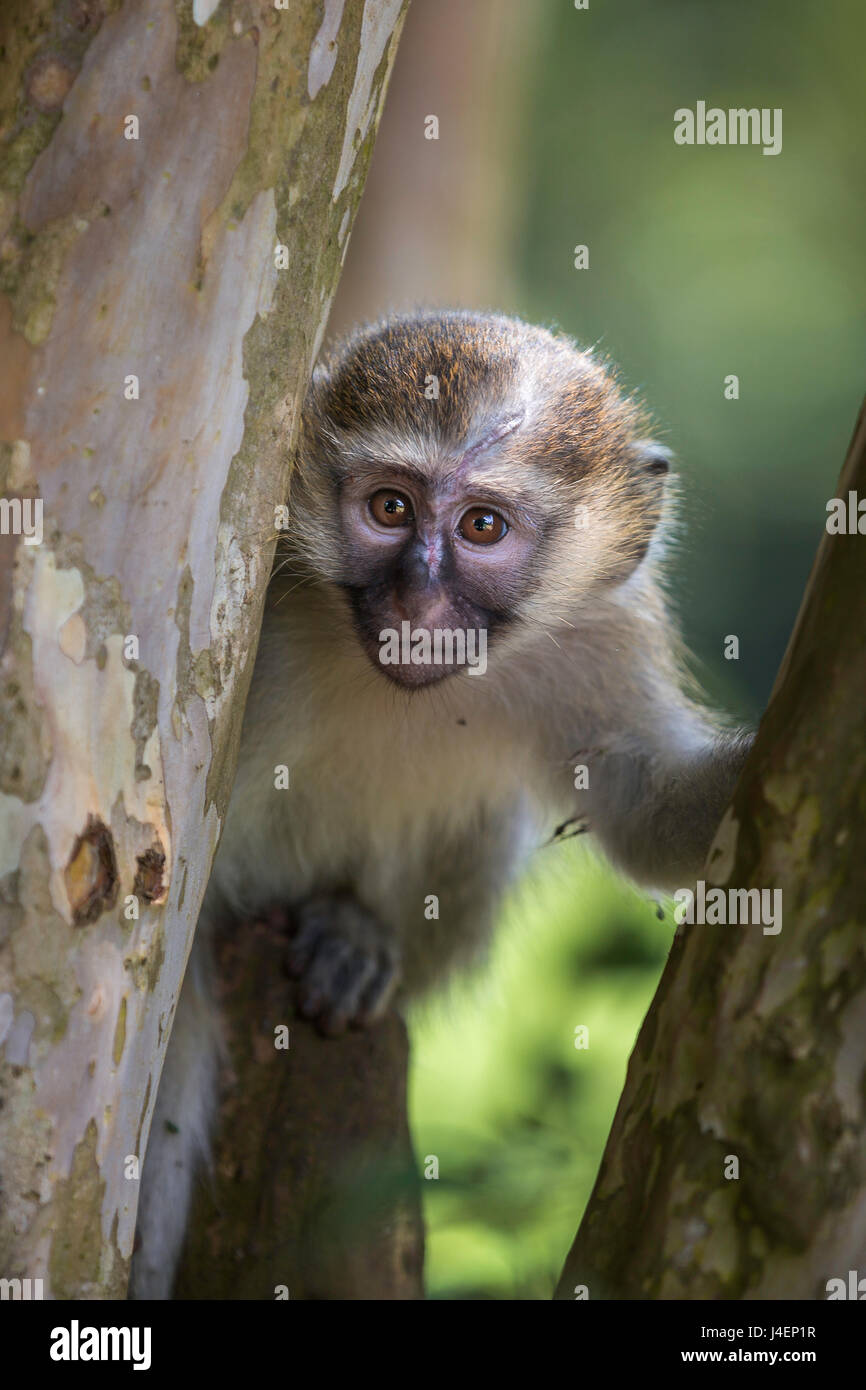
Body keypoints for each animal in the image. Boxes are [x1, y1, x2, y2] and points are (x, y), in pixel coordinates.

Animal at [130, 309, 752, 1298]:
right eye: (391, 508)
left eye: (482, 526)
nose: (419, 595)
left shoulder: (600, 638)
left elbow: (638, 804)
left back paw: (353, 932)